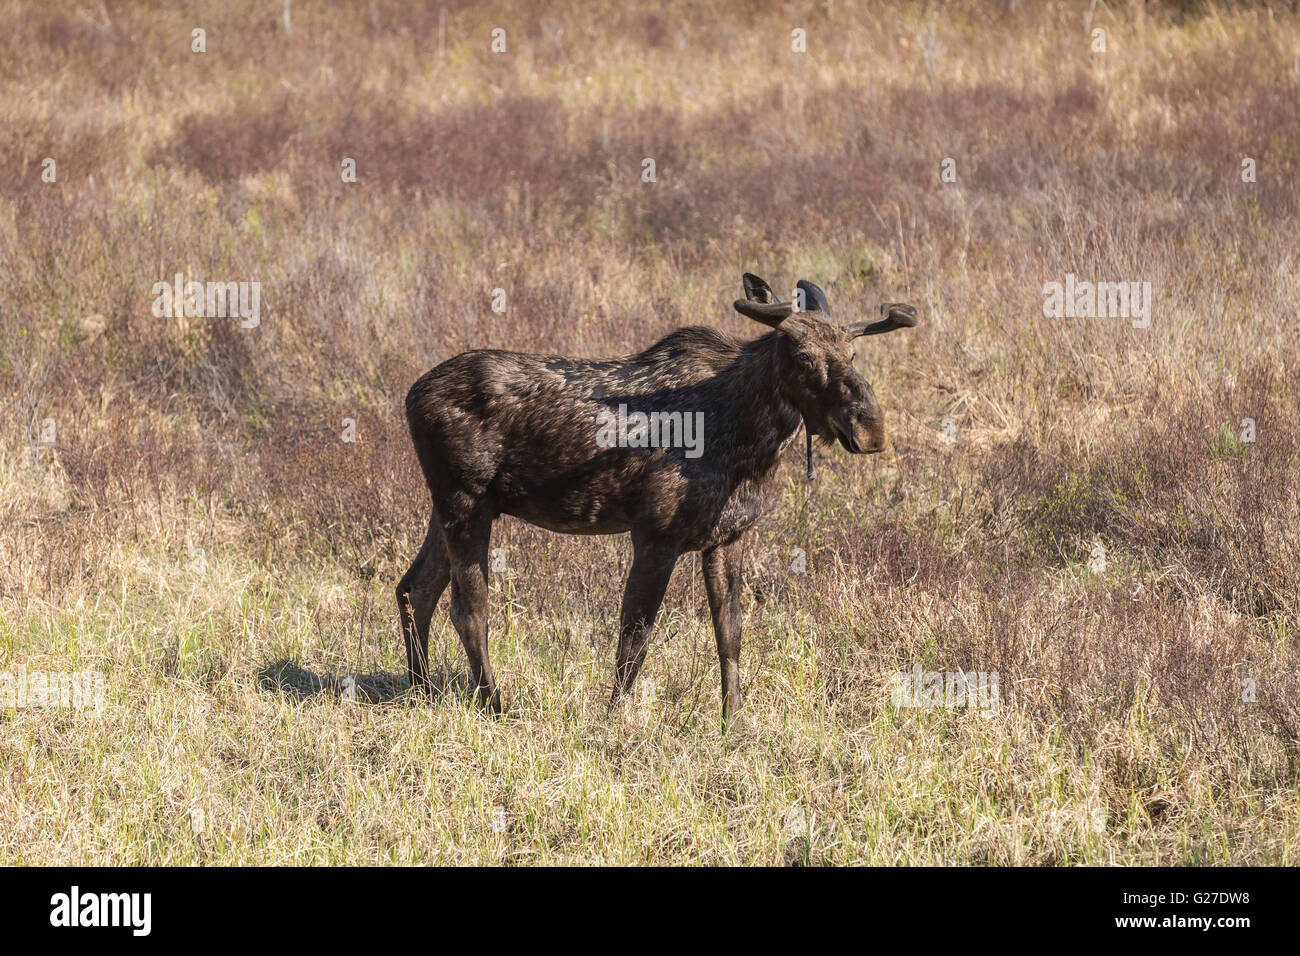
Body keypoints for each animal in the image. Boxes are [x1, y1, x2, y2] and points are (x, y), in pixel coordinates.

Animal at [396, 273, 918, 724]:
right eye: (804, 356)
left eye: (853, 351)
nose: (870, 427)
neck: (751, 444)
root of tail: (410, 395)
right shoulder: (655, 537)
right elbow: (634, 641)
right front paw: (613, 720)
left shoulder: (727, 537)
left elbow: (730, 634)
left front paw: (735, 720)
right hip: (466, 503)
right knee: (468, 609)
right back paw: (495, 705)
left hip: (451, 508)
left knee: (414, 589)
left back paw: (422, 690)